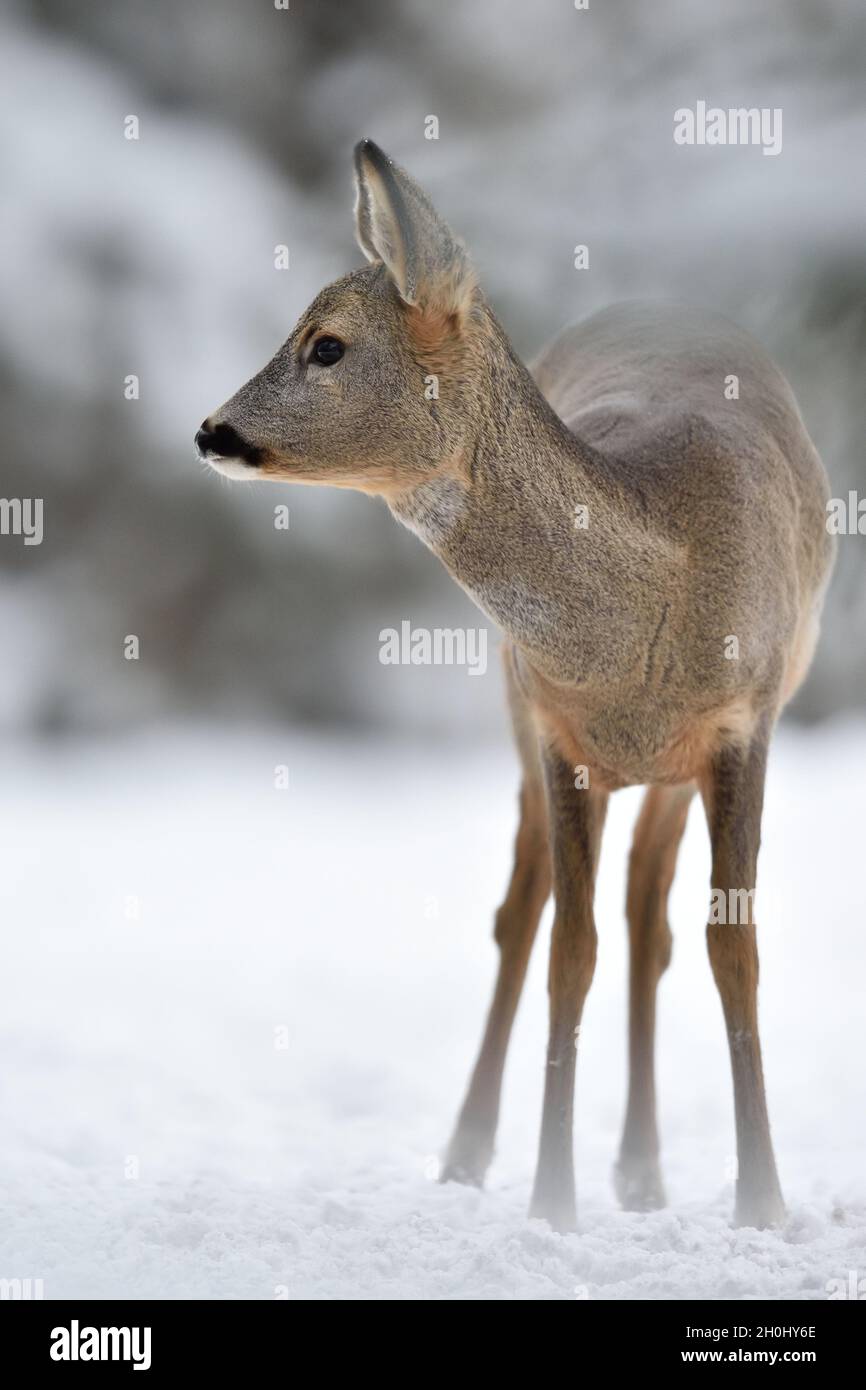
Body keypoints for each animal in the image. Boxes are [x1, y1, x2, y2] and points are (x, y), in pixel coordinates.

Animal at [195, 140, 834, 1234]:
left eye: (326, 346)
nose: (210, 430)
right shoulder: (554, 727)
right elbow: (565, 951)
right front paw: (548, 1203)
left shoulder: (742, 723)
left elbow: (732, 949)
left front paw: (761, 1205)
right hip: (516, 711)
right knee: (527, 912)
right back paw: (471, 1156)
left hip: (669, 768)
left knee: (649, 919)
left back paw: (642, 1173)